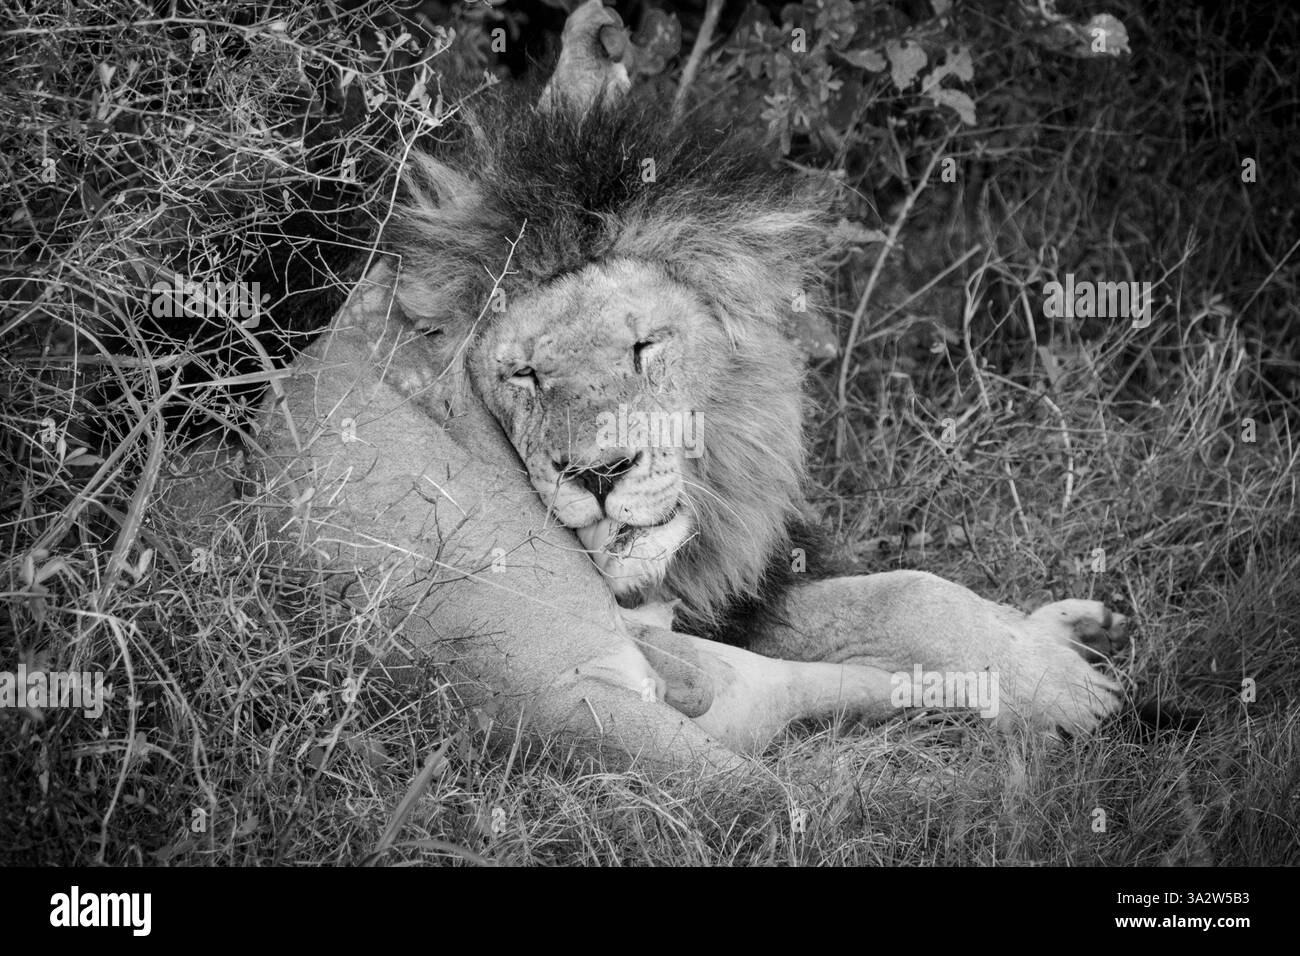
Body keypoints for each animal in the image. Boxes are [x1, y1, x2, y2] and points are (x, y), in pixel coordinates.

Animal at [254, 1, 1127, 771]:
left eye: (644, 347)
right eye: (524, 375)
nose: (597, 476)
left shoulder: (741, 587)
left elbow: (900, 592)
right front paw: (1061, 685)